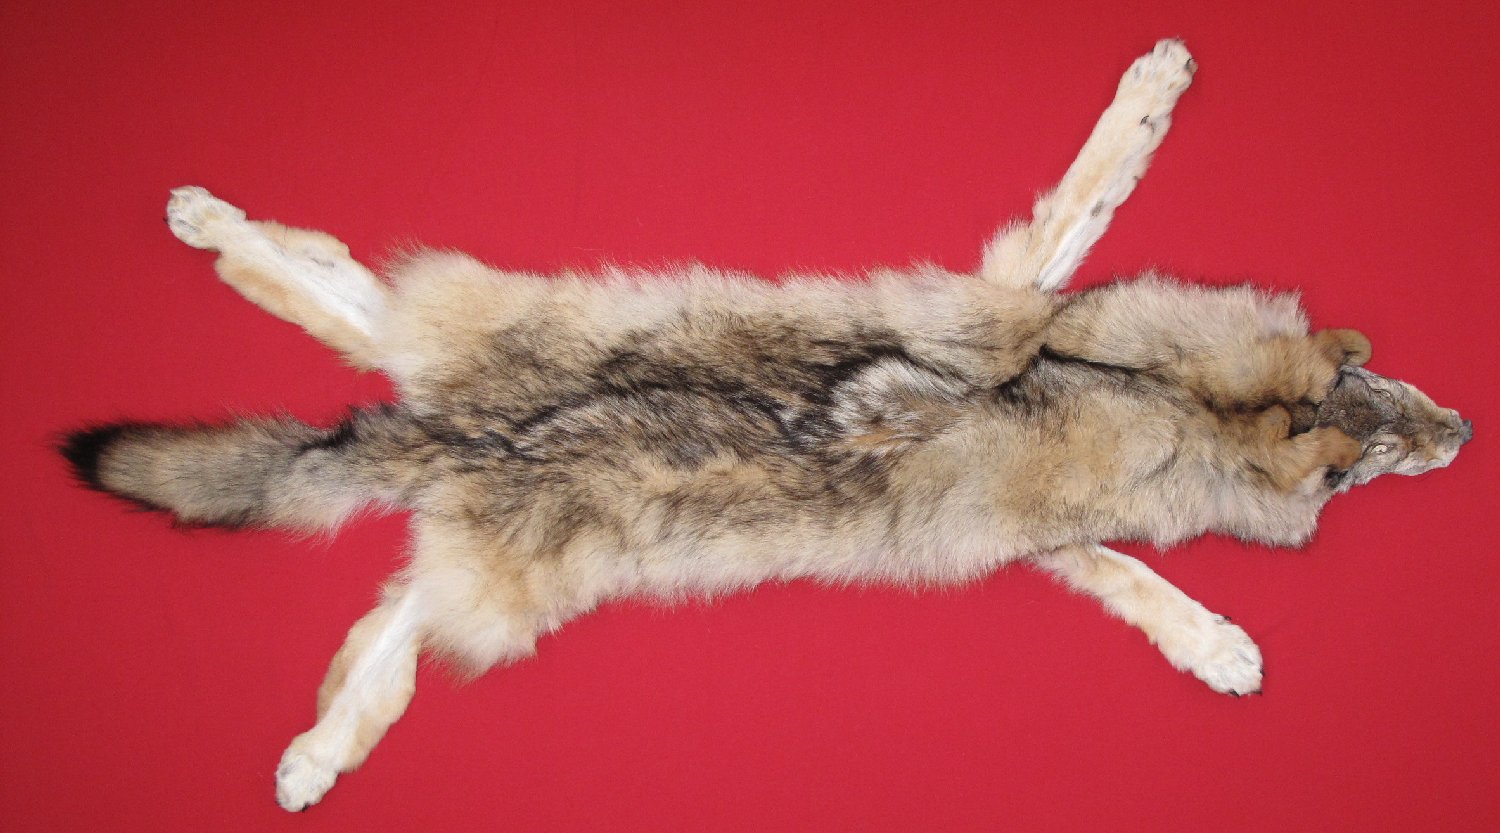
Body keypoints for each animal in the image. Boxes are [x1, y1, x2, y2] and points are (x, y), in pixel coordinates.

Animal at [60, 40, 1469, 811]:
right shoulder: (1023, 310)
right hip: (501, 578)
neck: (1142, 389)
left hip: (446, 432)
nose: (1463, 426)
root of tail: (449, 440)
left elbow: (1122, 571)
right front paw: (1222, 646)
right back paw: (309, 764)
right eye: (1371, 462)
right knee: (384, 643)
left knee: (359, 501)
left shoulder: (1042, 482)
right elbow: (1096, 181)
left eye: (1393, 403)